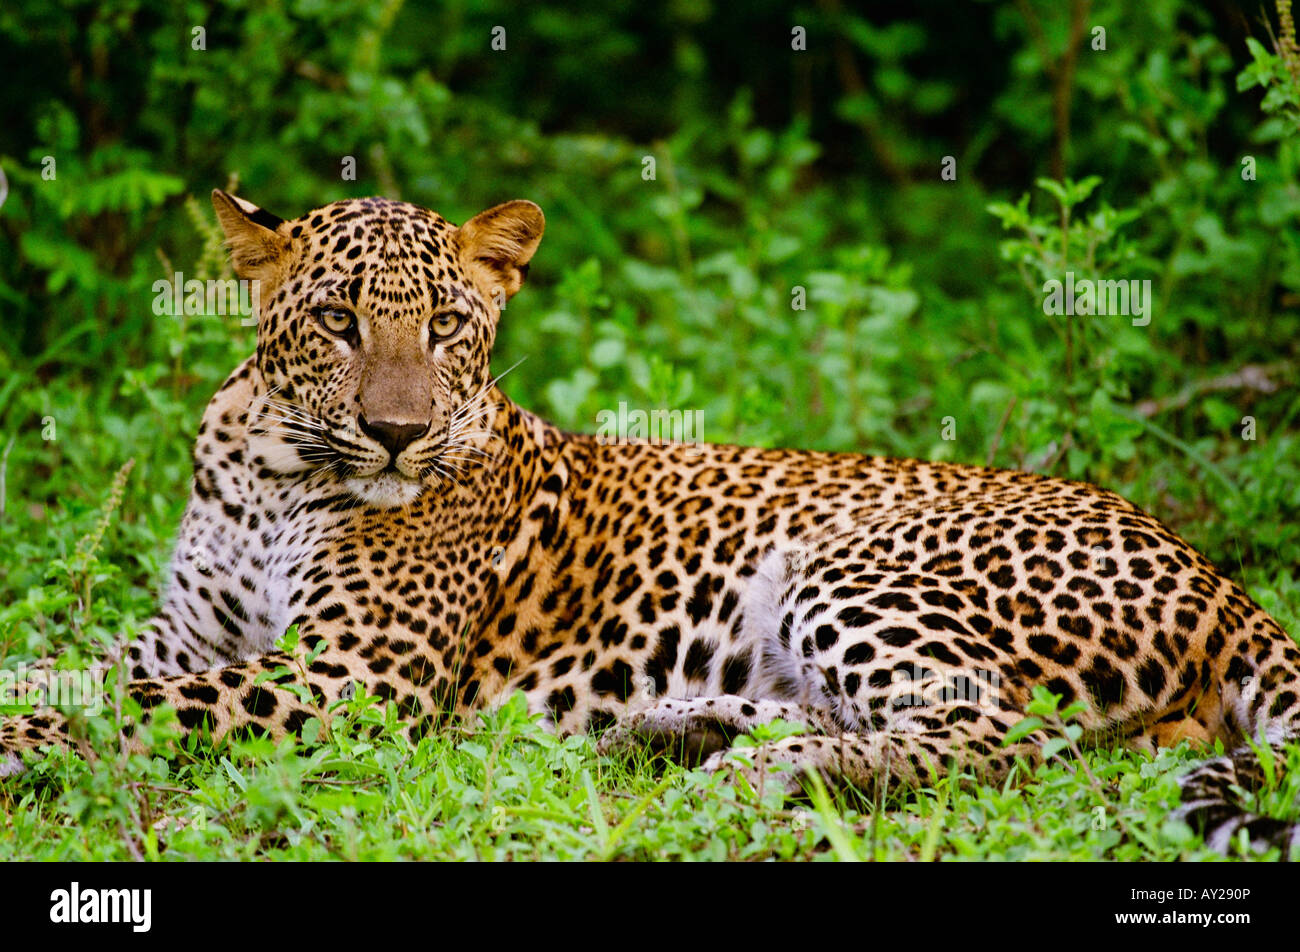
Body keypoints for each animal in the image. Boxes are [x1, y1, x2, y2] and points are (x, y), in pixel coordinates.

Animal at [3, 189, 1298, 857]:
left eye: (445, 326)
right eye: (335, 321)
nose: (397, 435)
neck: (277, 464)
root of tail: (1215, 573)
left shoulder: (354, 676)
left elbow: (140, 704)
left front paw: (22, 742)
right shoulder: (187, 630)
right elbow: (74, 666)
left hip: (854, 565)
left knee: (999, 733)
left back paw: (734, 785)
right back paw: (672, 733)